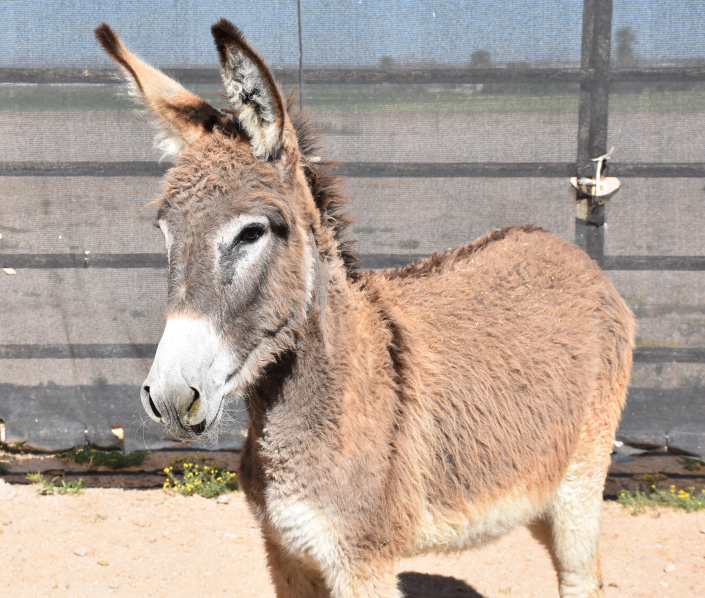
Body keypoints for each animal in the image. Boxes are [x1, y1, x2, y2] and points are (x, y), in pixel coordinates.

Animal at [95, 20, 634, 598]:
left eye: (252, 232)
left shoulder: (362, 562)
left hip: (581, 479)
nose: (171, 396)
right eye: (164, 233)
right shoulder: (284, 552)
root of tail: (564, 247)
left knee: (583, 575)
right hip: (537, 486)